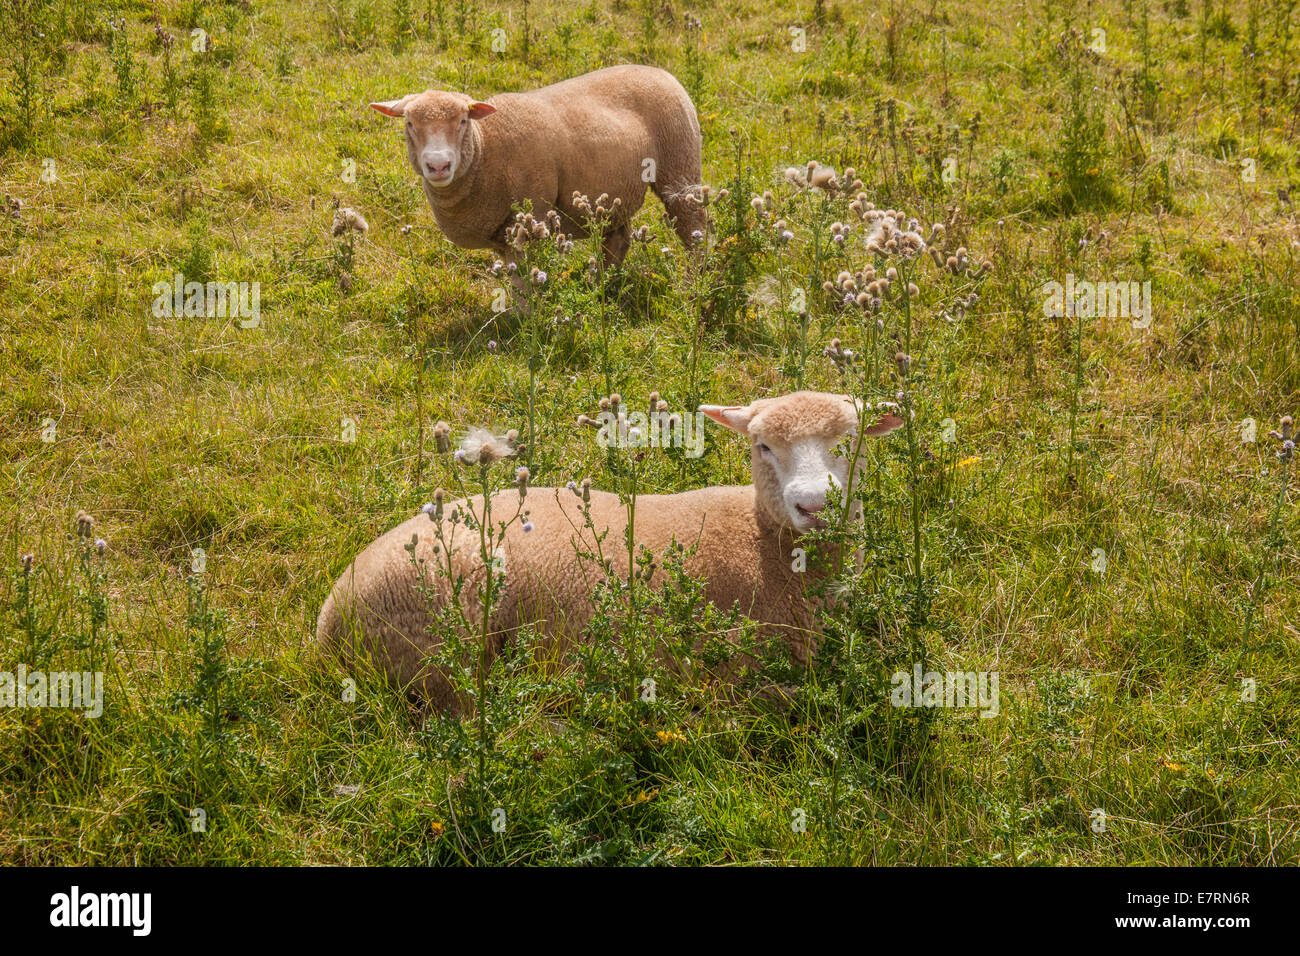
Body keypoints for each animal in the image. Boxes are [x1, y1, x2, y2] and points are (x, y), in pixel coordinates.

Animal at [315, 391, 903, 712]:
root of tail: (327, 624)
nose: (814, 504)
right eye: (762, 446)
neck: (765, 542)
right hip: (440, 639)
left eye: (853, 440)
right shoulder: (735, 665)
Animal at [370, 65, 705, 267]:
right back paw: (603, 283)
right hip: (614, 190)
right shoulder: (502, 232)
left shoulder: (530, 219)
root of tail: (658, 70)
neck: (486, 149)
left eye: (463, 121)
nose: (438, 165)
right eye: (409, 123)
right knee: (618, 240)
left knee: (694, 223)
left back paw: (697, 279)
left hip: (680, 164)